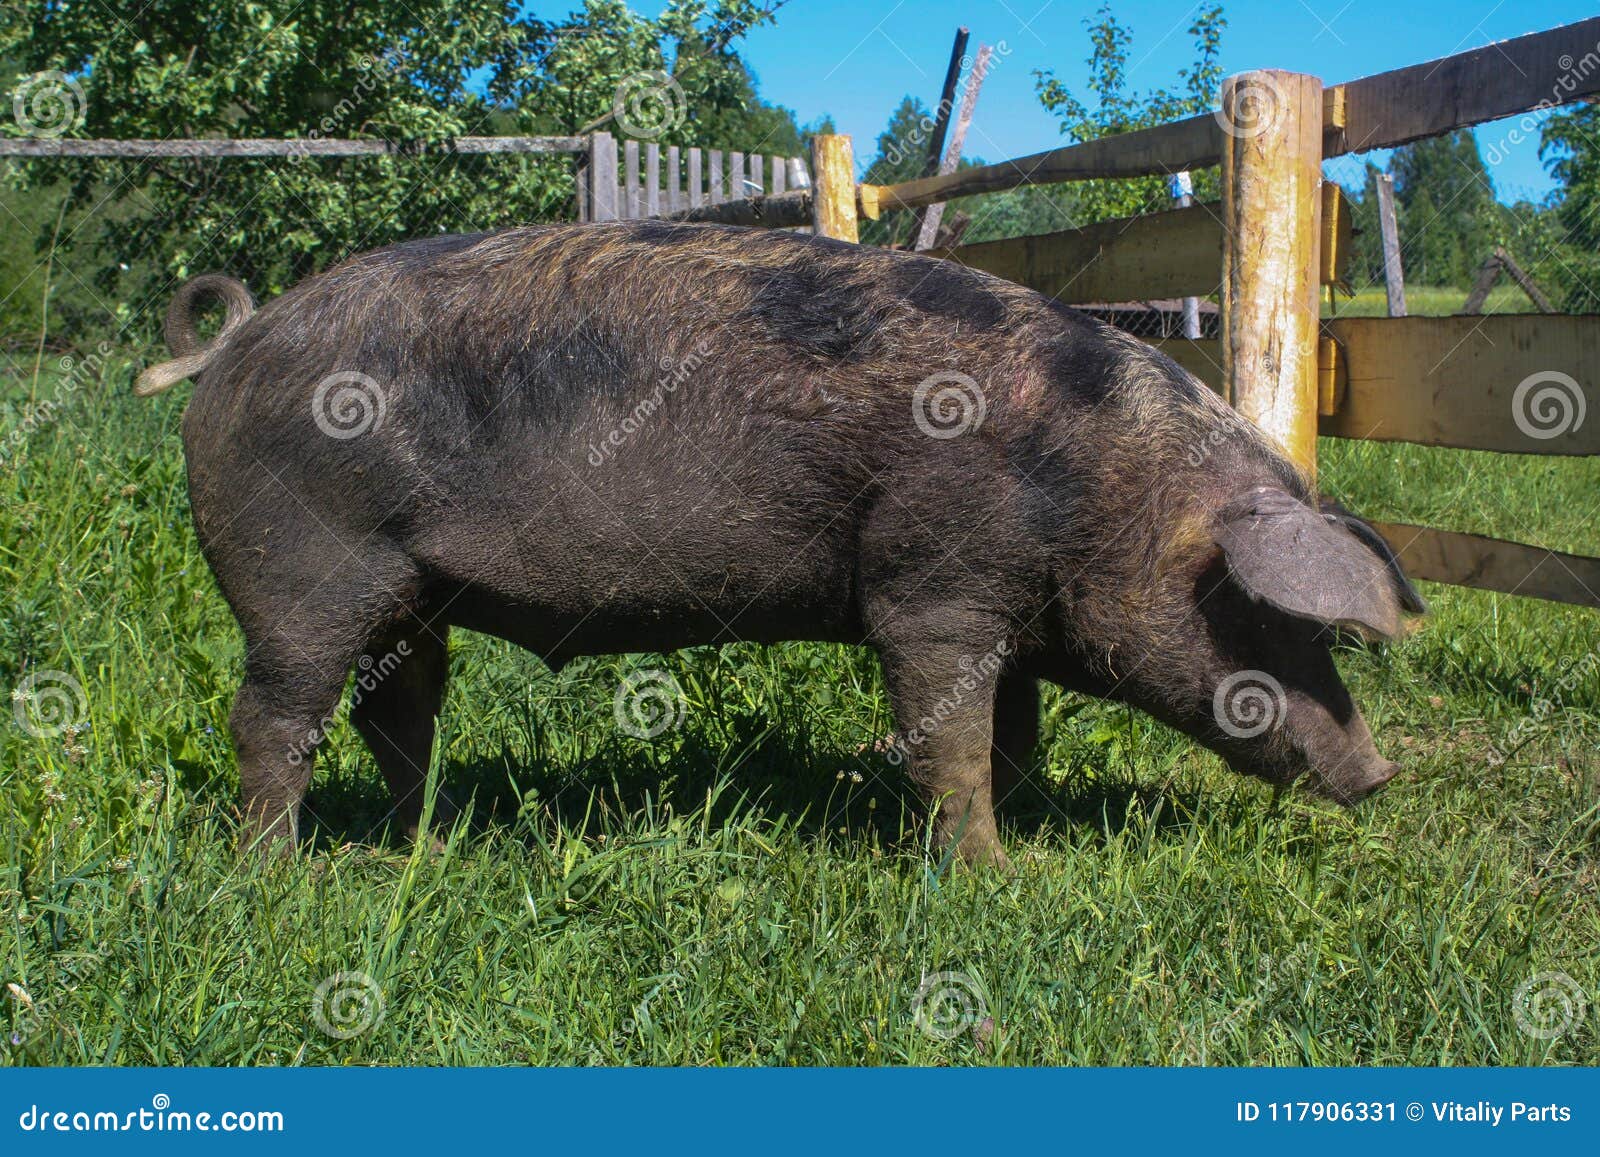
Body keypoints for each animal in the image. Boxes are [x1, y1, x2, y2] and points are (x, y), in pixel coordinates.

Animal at [136, 221, 1424, 867]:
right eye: (1265, 614)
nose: (1379, 773)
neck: (1105, 485)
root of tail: (231, 344)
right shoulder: (930, 585)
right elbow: (948, 744)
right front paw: (994, 880)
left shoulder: (1000, 607)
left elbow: (1008, 736)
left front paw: (1029, 837)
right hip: (306, 571)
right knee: (271, 717)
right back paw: (274, 875)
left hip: (415, 592)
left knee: (395, 713)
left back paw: (426, 849)